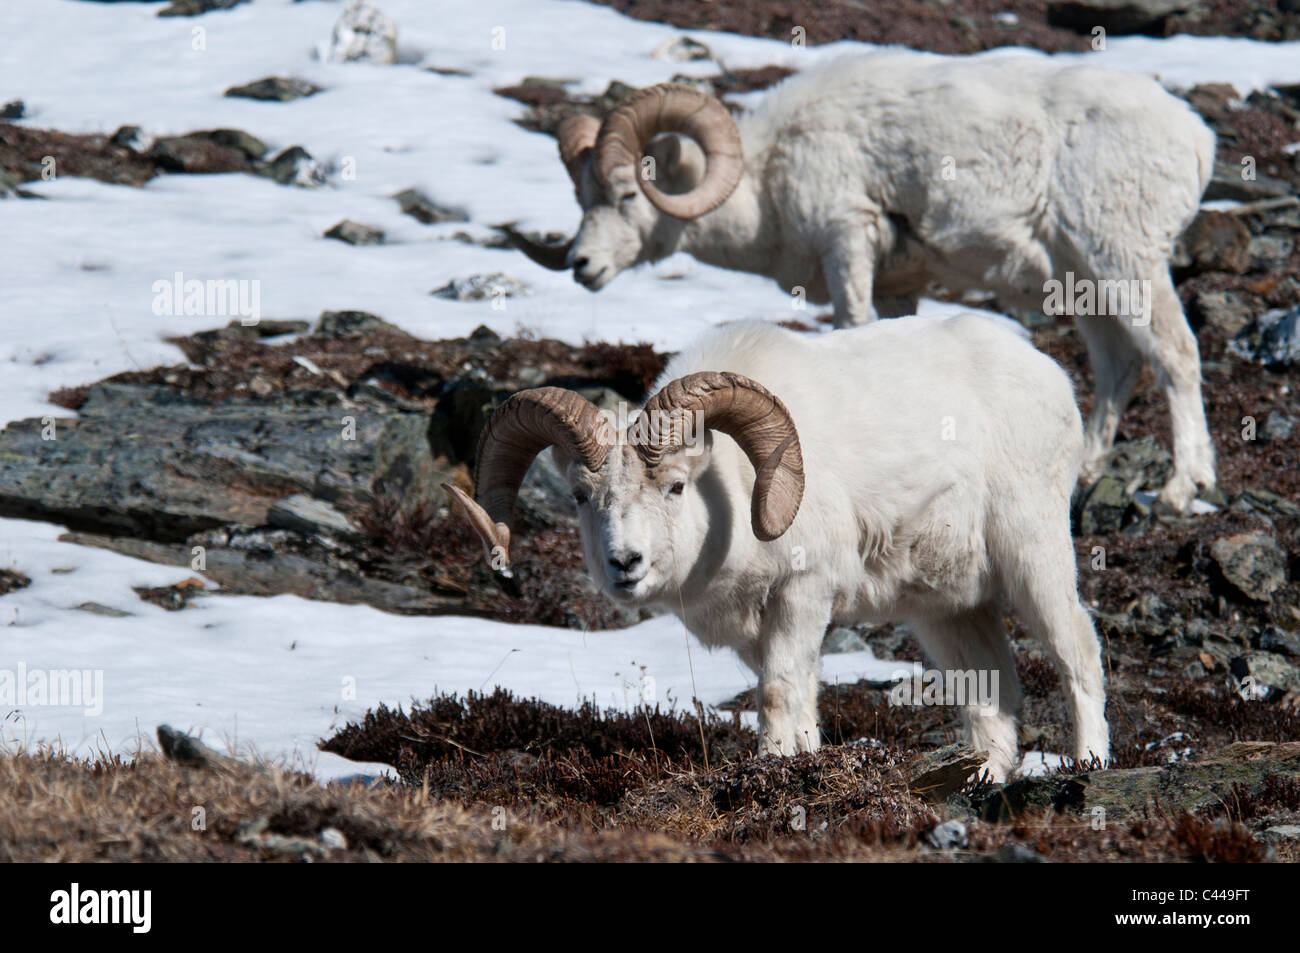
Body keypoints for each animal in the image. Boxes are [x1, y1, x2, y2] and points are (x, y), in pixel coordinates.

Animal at [444, 315, 1110, 781]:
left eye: (676, 487)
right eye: (581, 496)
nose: (624, 564)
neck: (734, 495)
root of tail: (1051, 377)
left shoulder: (802, 595)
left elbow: (778, 692)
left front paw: (770, 766)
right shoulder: (756, 631)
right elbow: (801, 698)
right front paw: (801, 763)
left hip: (1034, 555)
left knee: (1077, 652)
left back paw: (1089, 764)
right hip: (949, 611)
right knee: (990, 697)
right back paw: (983, 781)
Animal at [505, 51, 1218, 513]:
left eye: (627, 193)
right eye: (582, 196)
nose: (583, 266)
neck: (767, 184)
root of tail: (1196, 139)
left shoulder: (848, 239)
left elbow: (852, 326)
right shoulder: (899, 282)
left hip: (1126, 262)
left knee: (1177, 356)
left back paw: (1183, 490)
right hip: (1087, 282)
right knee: (1119, 364)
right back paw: (1089, 470)